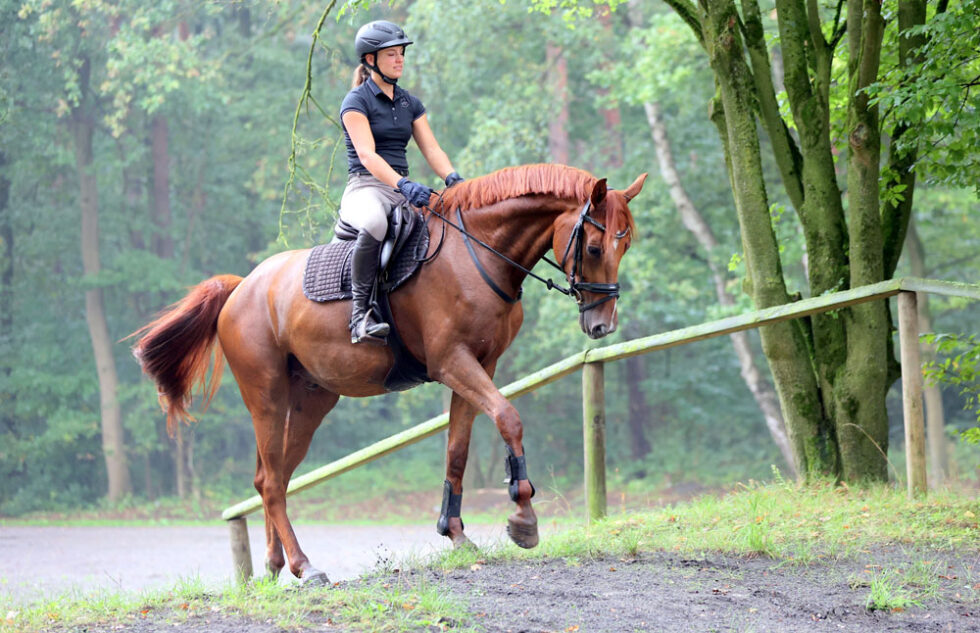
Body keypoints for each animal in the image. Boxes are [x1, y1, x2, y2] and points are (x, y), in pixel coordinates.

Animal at [133, 163, 647, 585]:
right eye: (594, 246)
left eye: (626, 245)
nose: (602, 326)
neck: (476, 255)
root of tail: (242, 288)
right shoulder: (453, 362)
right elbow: (508, 418)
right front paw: (523, 517)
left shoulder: (479, 366)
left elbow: (457, 450)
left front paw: (455, 533)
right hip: (266, 397)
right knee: (272, 482)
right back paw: (305, 566)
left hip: (311, 401)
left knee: (270, 476)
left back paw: (279, 564)